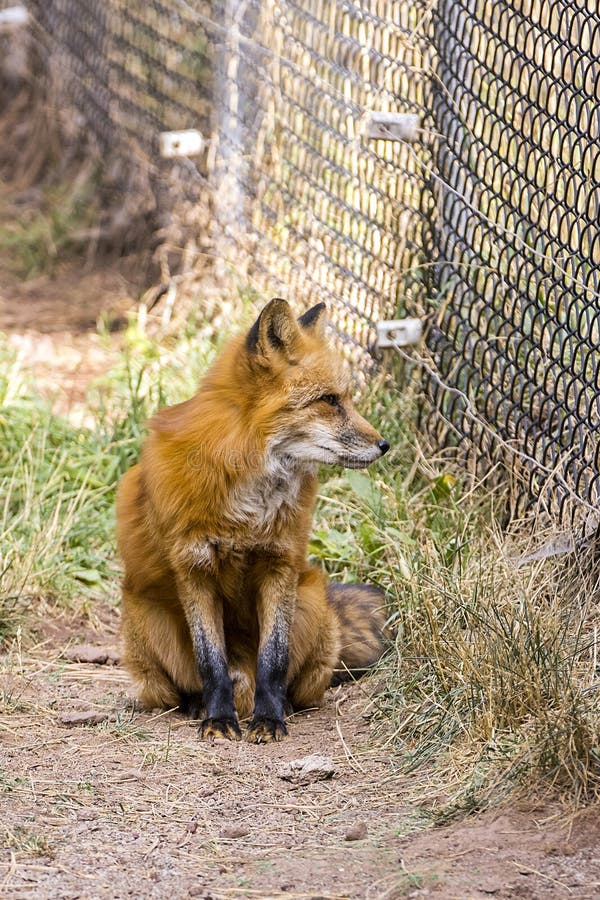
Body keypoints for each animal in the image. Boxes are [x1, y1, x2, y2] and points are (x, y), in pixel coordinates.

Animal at [116, 298, 390, 743]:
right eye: (329, 400)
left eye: (345, 398)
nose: (385, 445)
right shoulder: (193, 569)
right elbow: (211, 663)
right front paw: (219, 719)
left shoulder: (280, 564)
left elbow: (272, 661)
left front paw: (269, 718)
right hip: (146, 617)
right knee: (187, 683)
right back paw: (197, 705)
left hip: (311, 600)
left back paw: (284, 706)